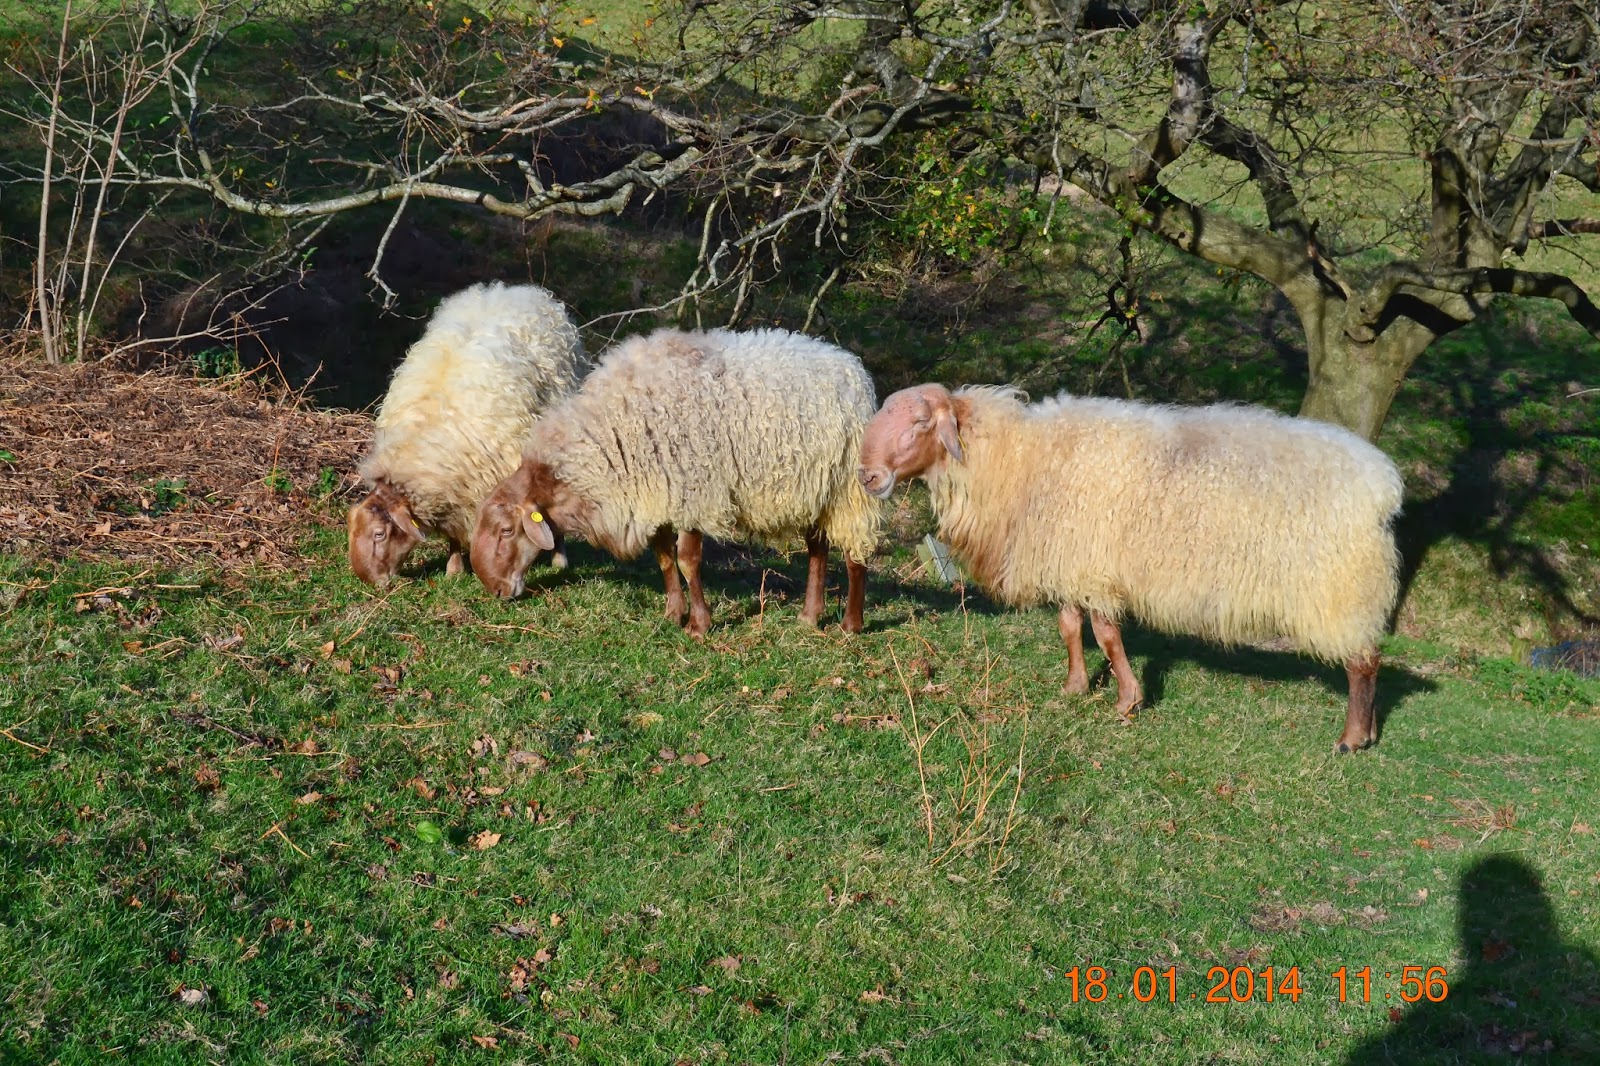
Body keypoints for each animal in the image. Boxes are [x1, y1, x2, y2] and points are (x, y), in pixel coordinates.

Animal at [347, 281, 588, 586]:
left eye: (379, 534)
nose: (370, 581)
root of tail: (513, 290)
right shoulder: (457, 490)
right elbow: (453, 531)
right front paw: (454, 568)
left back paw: (559, 558)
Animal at [470, 327, 882, 636]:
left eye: (506, 530)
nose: (495, 590)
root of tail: (852, 368)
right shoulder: (657, 495)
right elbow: (665, 558)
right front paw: (672, 613)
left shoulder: (693, 493)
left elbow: (687, 560)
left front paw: (699, 625)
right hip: (816, 487)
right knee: (817, 548)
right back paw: (810, 616)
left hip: (849, 487)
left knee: (854, 552)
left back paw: (850, 624)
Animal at [857, 383, 1404, 753]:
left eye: (919, 424)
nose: (868, 477)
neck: (1017, 459)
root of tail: (1383, 483)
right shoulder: (1071, 562)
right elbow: (1070, 627)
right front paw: (1076, 686)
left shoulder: (1095, 568)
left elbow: (1107, 635)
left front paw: (1127, 701)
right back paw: (1372, 730)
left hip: (1341, 588)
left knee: (1364, 661)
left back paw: (1353, 737)